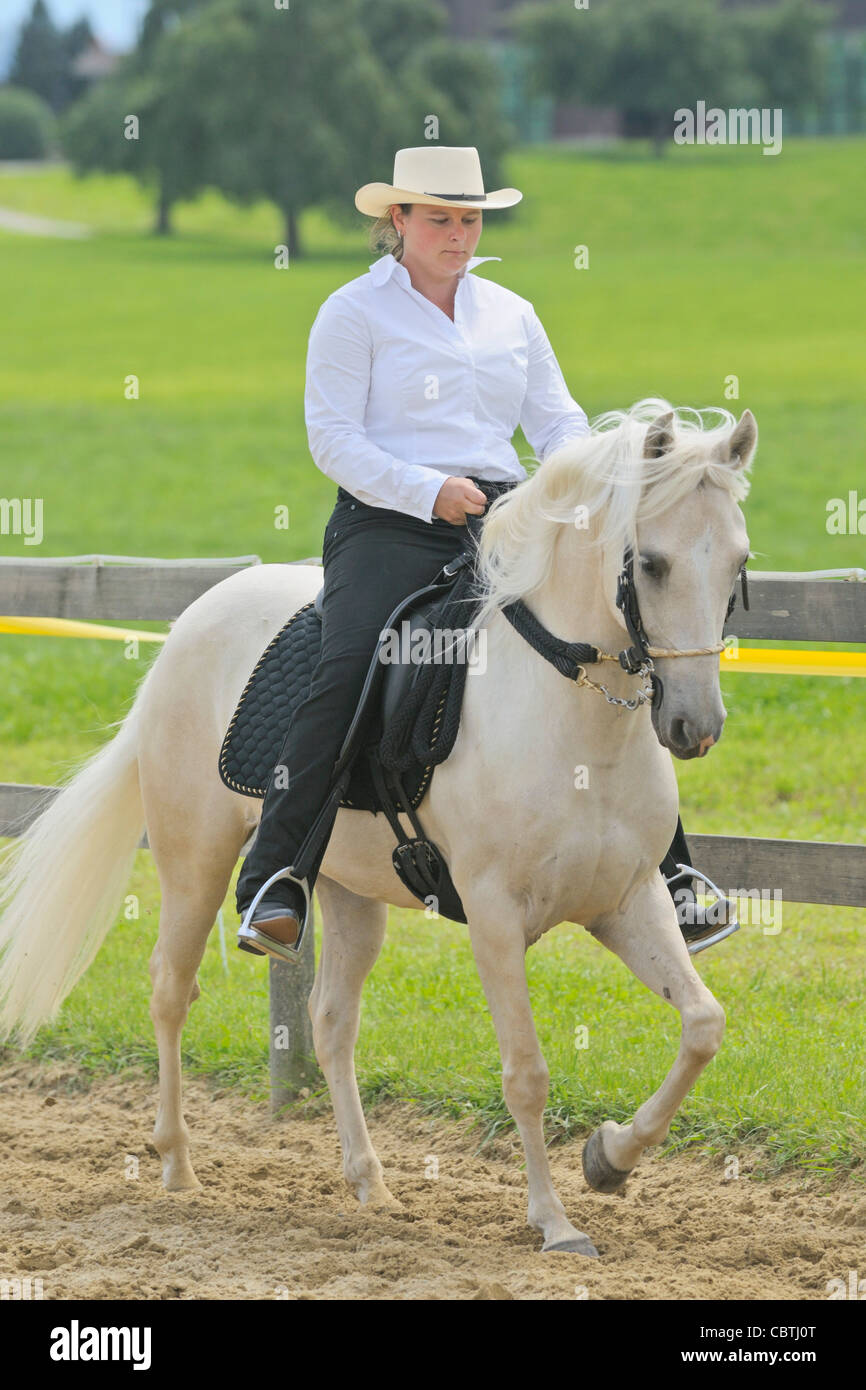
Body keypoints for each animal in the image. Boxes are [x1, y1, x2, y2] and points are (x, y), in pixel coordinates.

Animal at [0, 398, 755, 1257]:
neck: (575, 726)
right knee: (169, 989)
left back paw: (370, 1183)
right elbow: (526, 1071)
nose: (695, 726)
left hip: (345, 889)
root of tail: (190, 625)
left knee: (330, 1024)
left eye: (737, 562)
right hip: (195, 860)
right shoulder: (496, 918)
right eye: (653, 563)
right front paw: (555, 1222)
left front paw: (611, 1159)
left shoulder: (628, 903)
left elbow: (703, 1025)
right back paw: (177, 1166)